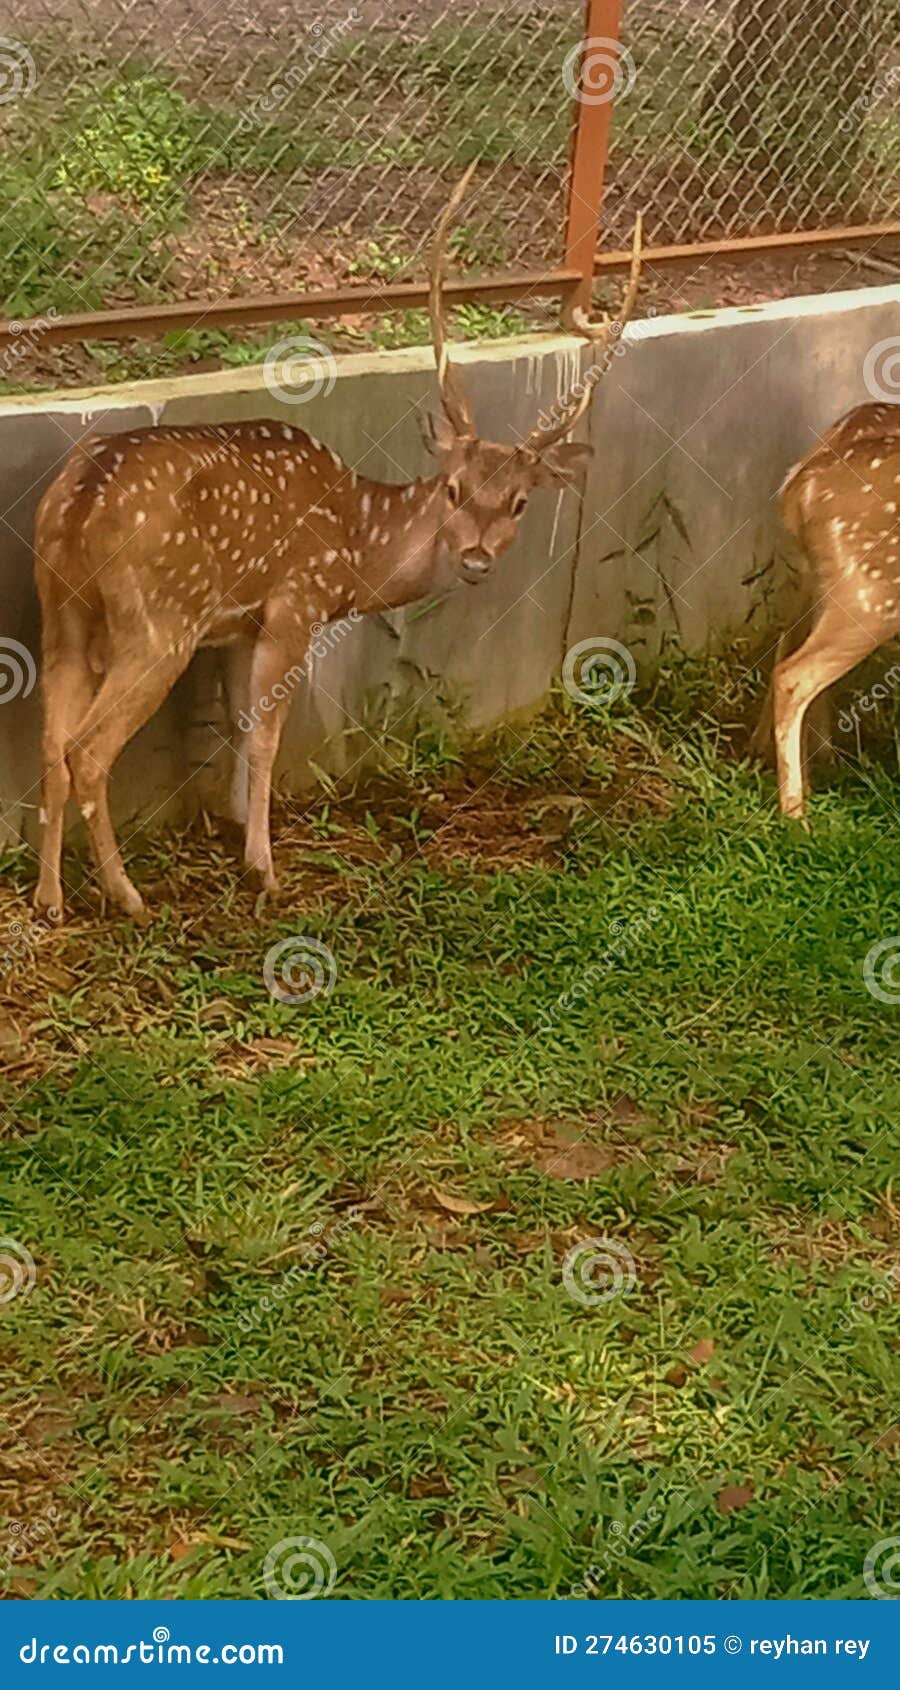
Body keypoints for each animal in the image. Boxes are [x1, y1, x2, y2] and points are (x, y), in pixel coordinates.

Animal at [32, 167, 642, 922]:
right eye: (453, 488)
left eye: (520, 501)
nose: (476, 558)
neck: (357, 545)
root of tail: (80, 499)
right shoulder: (296, 603)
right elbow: (266, 738)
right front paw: (264, 868)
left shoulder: (241, 625)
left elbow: (242, 730)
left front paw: (241, 829)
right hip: (158, 620)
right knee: (87, 750)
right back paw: (127, 895)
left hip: (62, 608)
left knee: (50, 743)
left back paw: (50, 898)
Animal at [753, 400, 900, 817]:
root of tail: (800, 482)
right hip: (870, 596)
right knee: (793, 675)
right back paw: (796, 815)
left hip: (824, 584)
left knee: (787, 645)